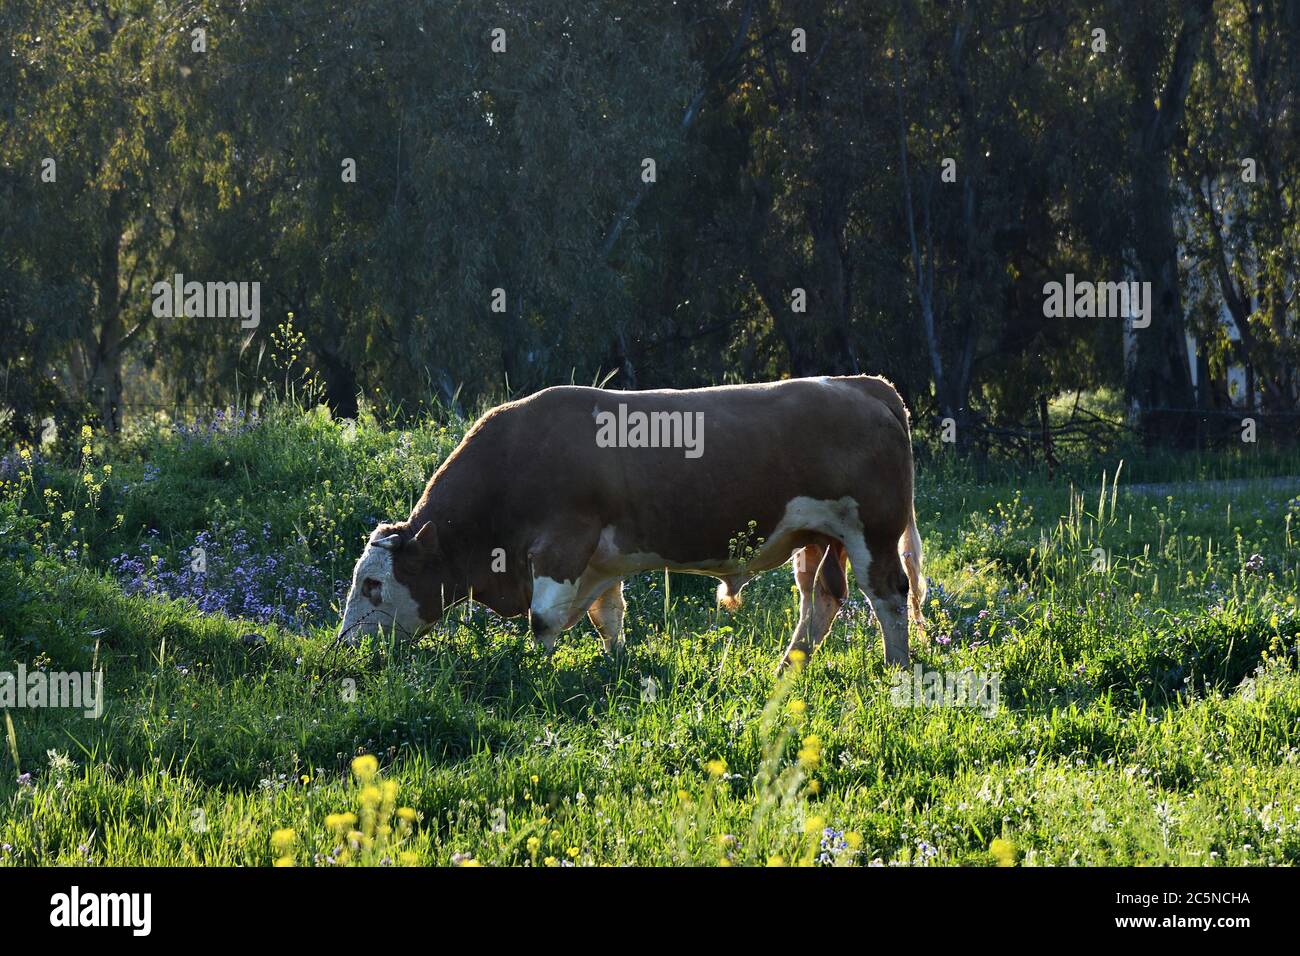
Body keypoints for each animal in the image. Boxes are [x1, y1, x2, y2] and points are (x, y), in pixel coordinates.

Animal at [338, 375, 925, 670]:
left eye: (372, 585)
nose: (346, 647)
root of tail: (864, 384)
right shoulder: (602, 559)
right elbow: (607, 616)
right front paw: (615, 665)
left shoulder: (562, 546)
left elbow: (543, 619)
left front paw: (536, 674)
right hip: (818, 538)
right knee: (822, 597)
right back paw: (788, 668)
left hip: (873, 532)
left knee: (888, 592)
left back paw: (895, 665)